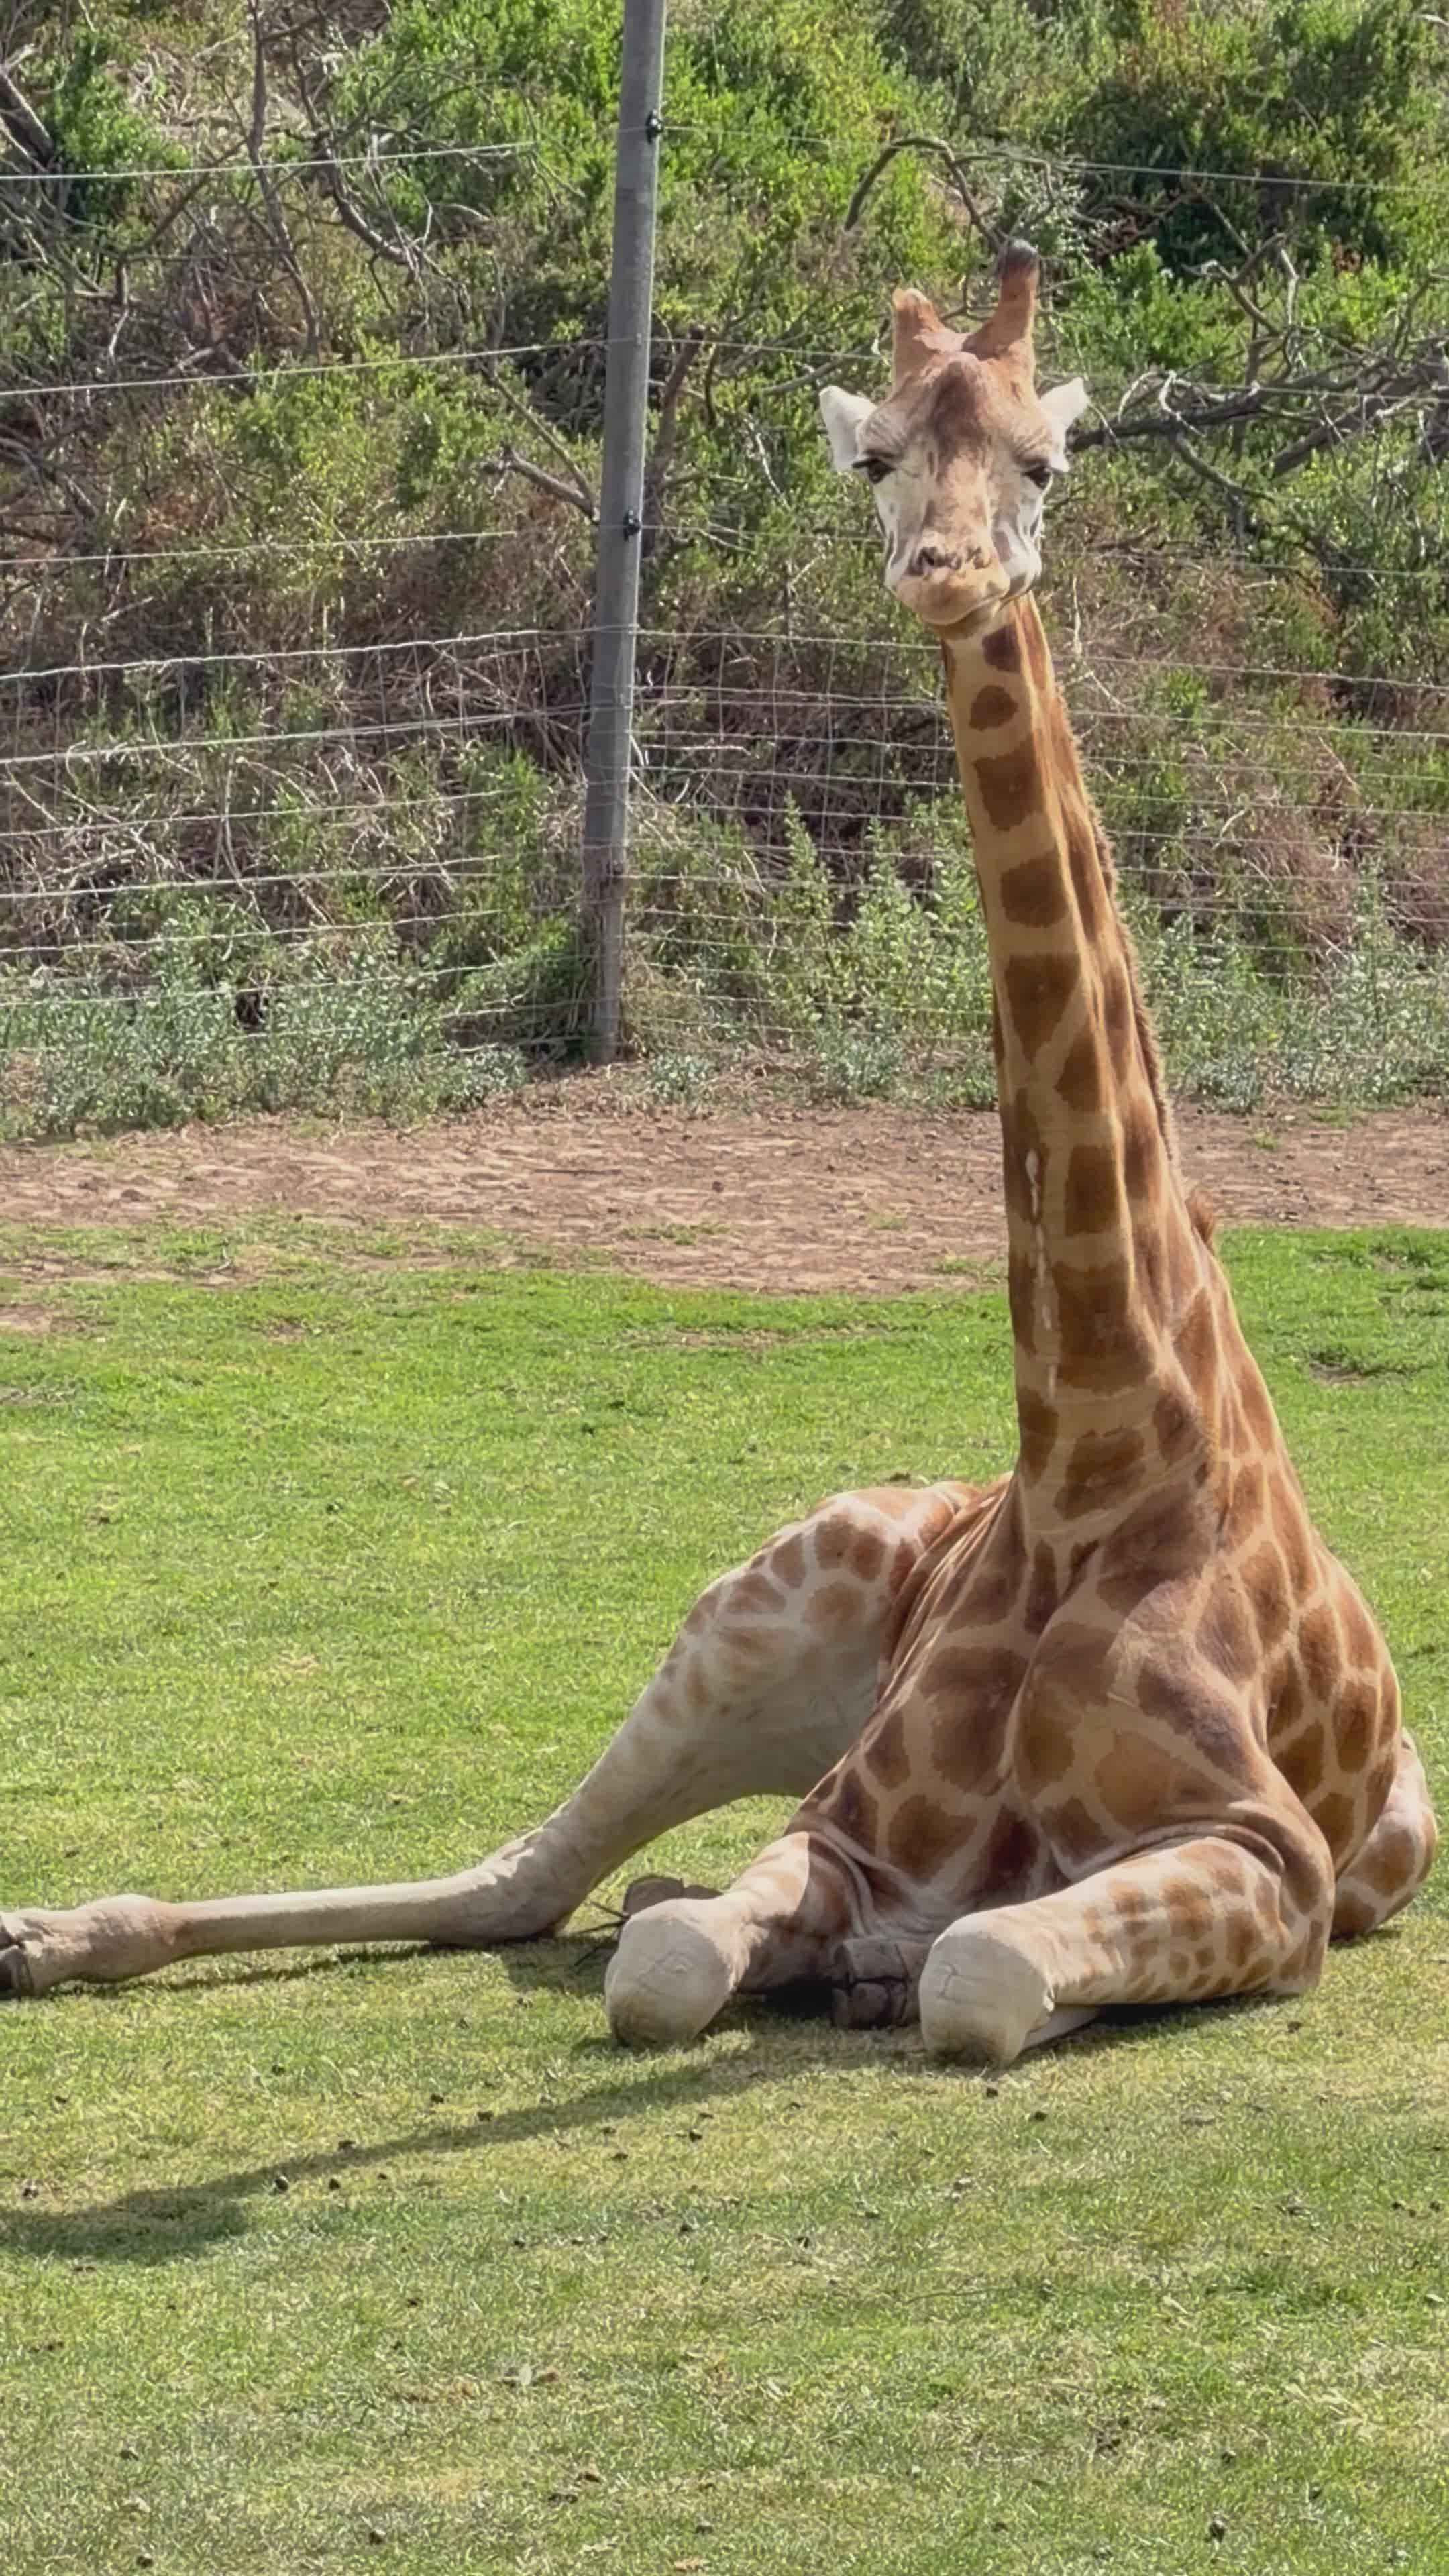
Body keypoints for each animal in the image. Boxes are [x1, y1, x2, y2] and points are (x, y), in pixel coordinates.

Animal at [1, 248, 1436, 2063]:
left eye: (1044, 461)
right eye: (875, 455)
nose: (945, 571)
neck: (1093, 1457)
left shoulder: (1274, 1863)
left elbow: (979, 1971)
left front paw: (889, 1962)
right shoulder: (840, 1819)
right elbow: (673, 1964)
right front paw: (793, 1948)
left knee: (586, 1894)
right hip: (755, 1601)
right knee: (530, 1878)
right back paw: (43, 1931)